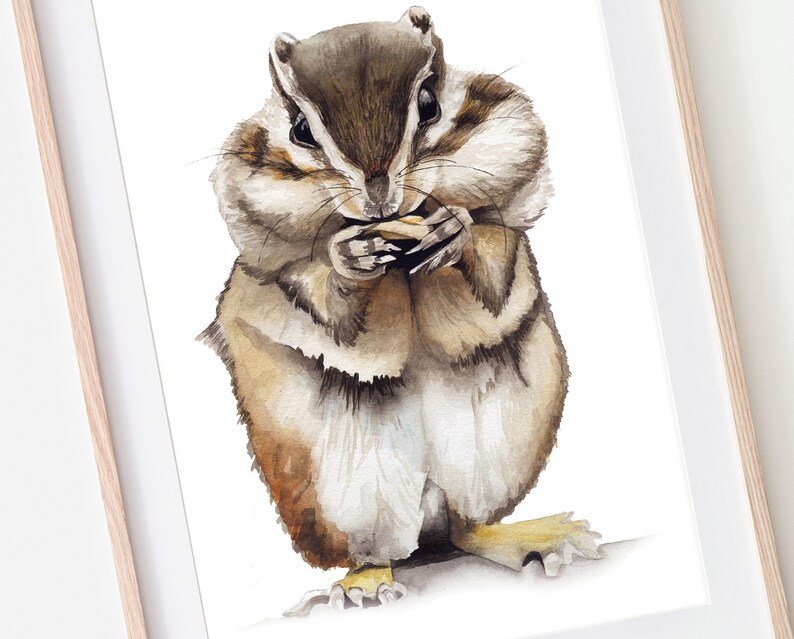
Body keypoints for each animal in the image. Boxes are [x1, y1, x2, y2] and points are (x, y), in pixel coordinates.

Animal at [202, 6, 602, 614]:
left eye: (430, 104)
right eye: (300, 129)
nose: (378, 195)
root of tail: (427, 514)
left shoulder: (511, 185)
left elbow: (493, 243)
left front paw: (455, 230)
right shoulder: (266, 244)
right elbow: (315, 284)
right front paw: (348, 259)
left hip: (505, 440)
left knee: (467, 525)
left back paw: (535, 538)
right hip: (330, 488)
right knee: (379, 545)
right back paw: (364, 583)